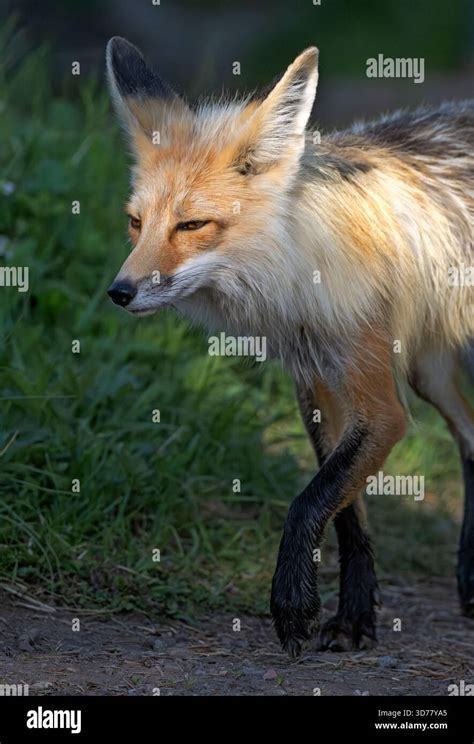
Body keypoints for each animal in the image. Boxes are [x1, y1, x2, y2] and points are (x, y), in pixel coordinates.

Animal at [106, 36, 474, 658]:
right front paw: (354, 616)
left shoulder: (380, 403)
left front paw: (291, 604)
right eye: (136, 223)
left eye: (191, 225)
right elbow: (345, 510)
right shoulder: (319, 383)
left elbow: (310, 502)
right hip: (431, 370)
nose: (119, 292)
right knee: (473, 437)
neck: (299, 270)